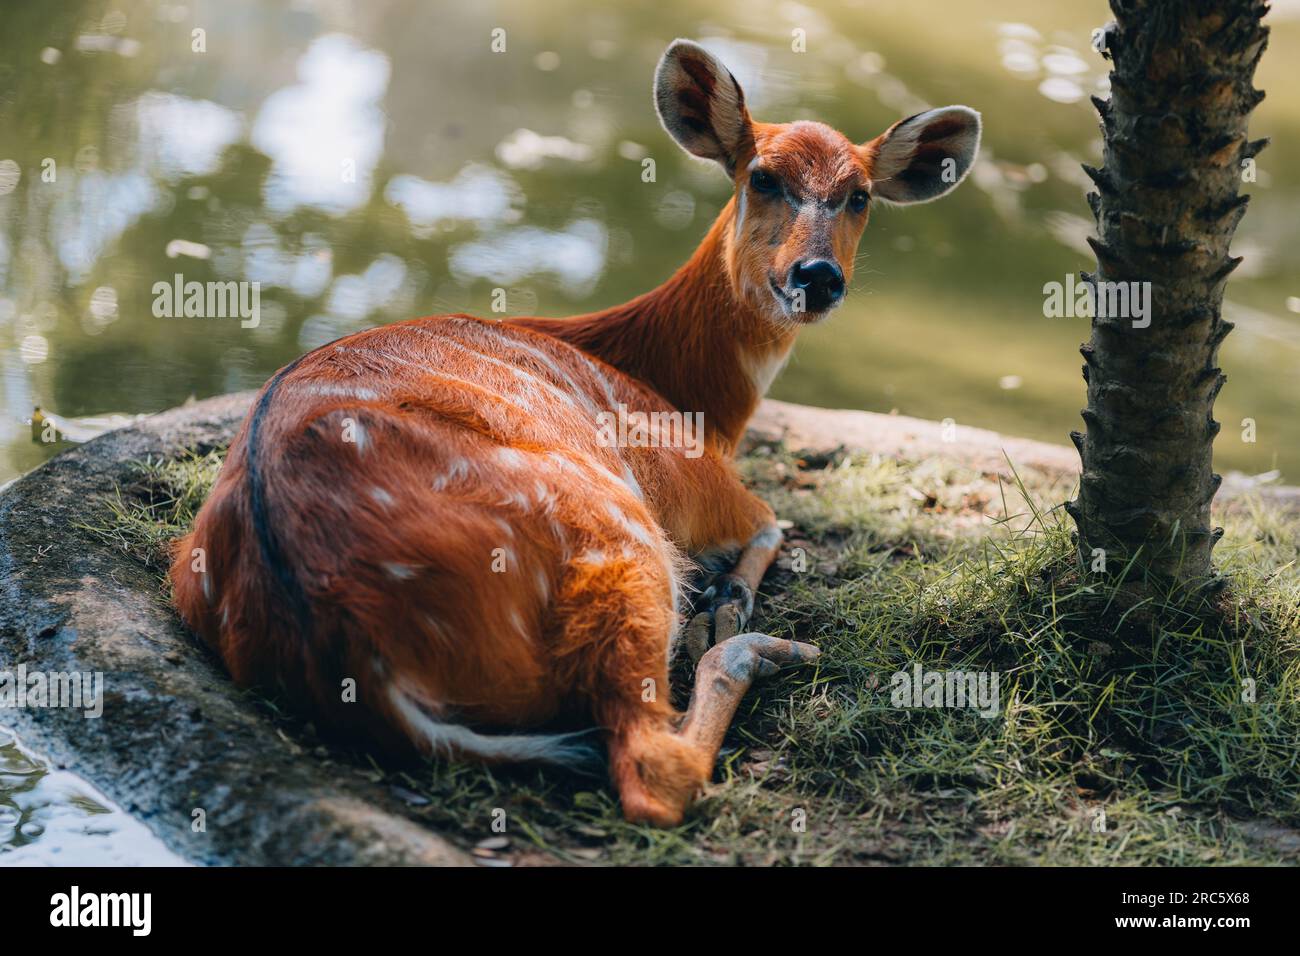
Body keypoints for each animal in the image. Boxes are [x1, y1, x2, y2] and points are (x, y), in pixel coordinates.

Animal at [170, 39, 980, 827]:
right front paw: (726, 604)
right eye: (762, 176)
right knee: (650, 768)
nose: (817, 276)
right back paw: (751, 645)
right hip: (620, 538)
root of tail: (356, 658)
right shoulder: (691, 477)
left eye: (860, 195)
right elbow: (772, 520)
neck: (684, 394)